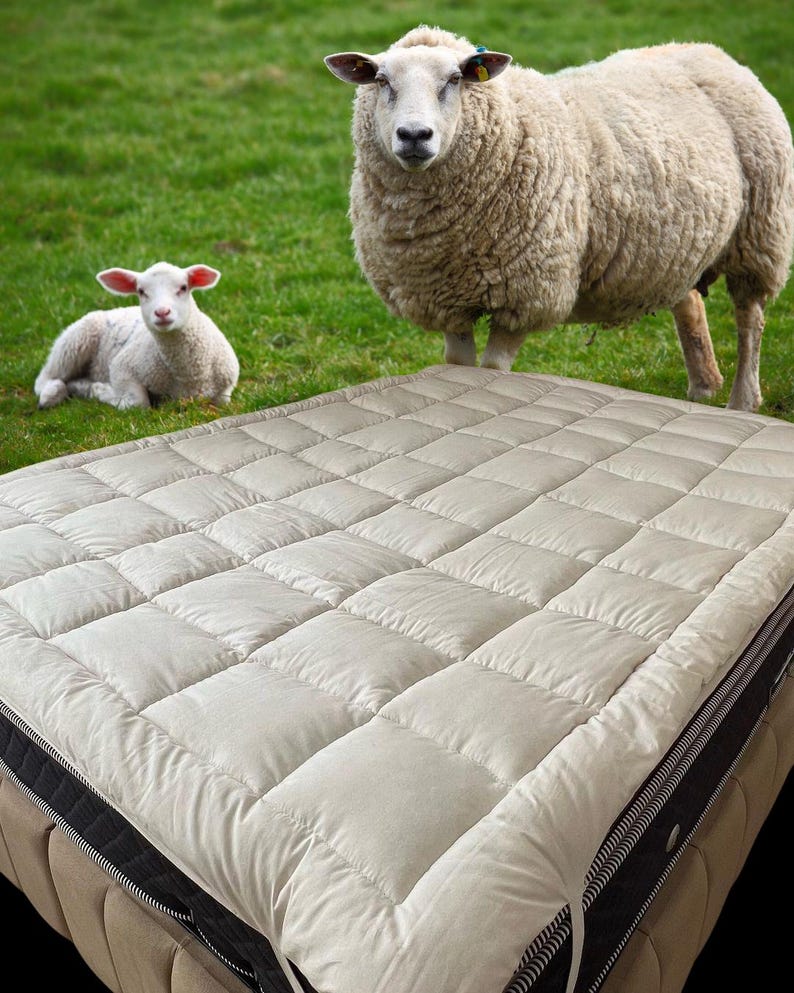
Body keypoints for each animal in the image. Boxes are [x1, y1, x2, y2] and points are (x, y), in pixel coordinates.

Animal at [35, 261, 239, 410]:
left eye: (183, 287)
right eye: (141, 291)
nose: (162, 312)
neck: (190, 375)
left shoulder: (225, 391)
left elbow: (223, 402)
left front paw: (94, 388)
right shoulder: (122, 366)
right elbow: (138, 403)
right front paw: (103, 390)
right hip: (73, 342)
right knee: (45, 377)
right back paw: (52, 394)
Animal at [325, 26, 794, 411]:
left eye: (455, 80)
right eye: (381, 80)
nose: (414, 136)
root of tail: (710, 50)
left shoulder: (526, 294)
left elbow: (491, 373)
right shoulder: (446, 299)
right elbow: (459, 366)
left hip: (760, 232)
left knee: (750, 317)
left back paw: (741, 401)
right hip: (675, 243)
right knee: (689, 301)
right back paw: (702, 388)